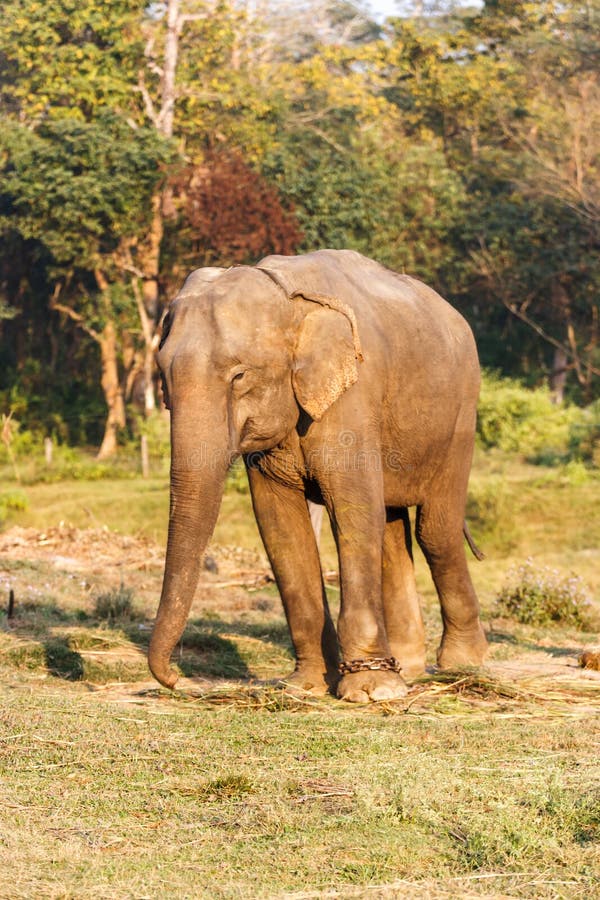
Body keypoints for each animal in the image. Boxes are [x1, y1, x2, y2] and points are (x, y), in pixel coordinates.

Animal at [149, 249, 488, 702]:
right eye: (162, 375)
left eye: (239, 376)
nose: (177, 678)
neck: (288, 298)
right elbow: (279, 526)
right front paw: (305, 686)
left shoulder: (353, 397)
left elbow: (353, 511)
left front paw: (370, 691)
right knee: (392, 529)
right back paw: (408, 666)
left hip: (461, 415)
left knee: (435, 531)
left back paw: (463, 664)